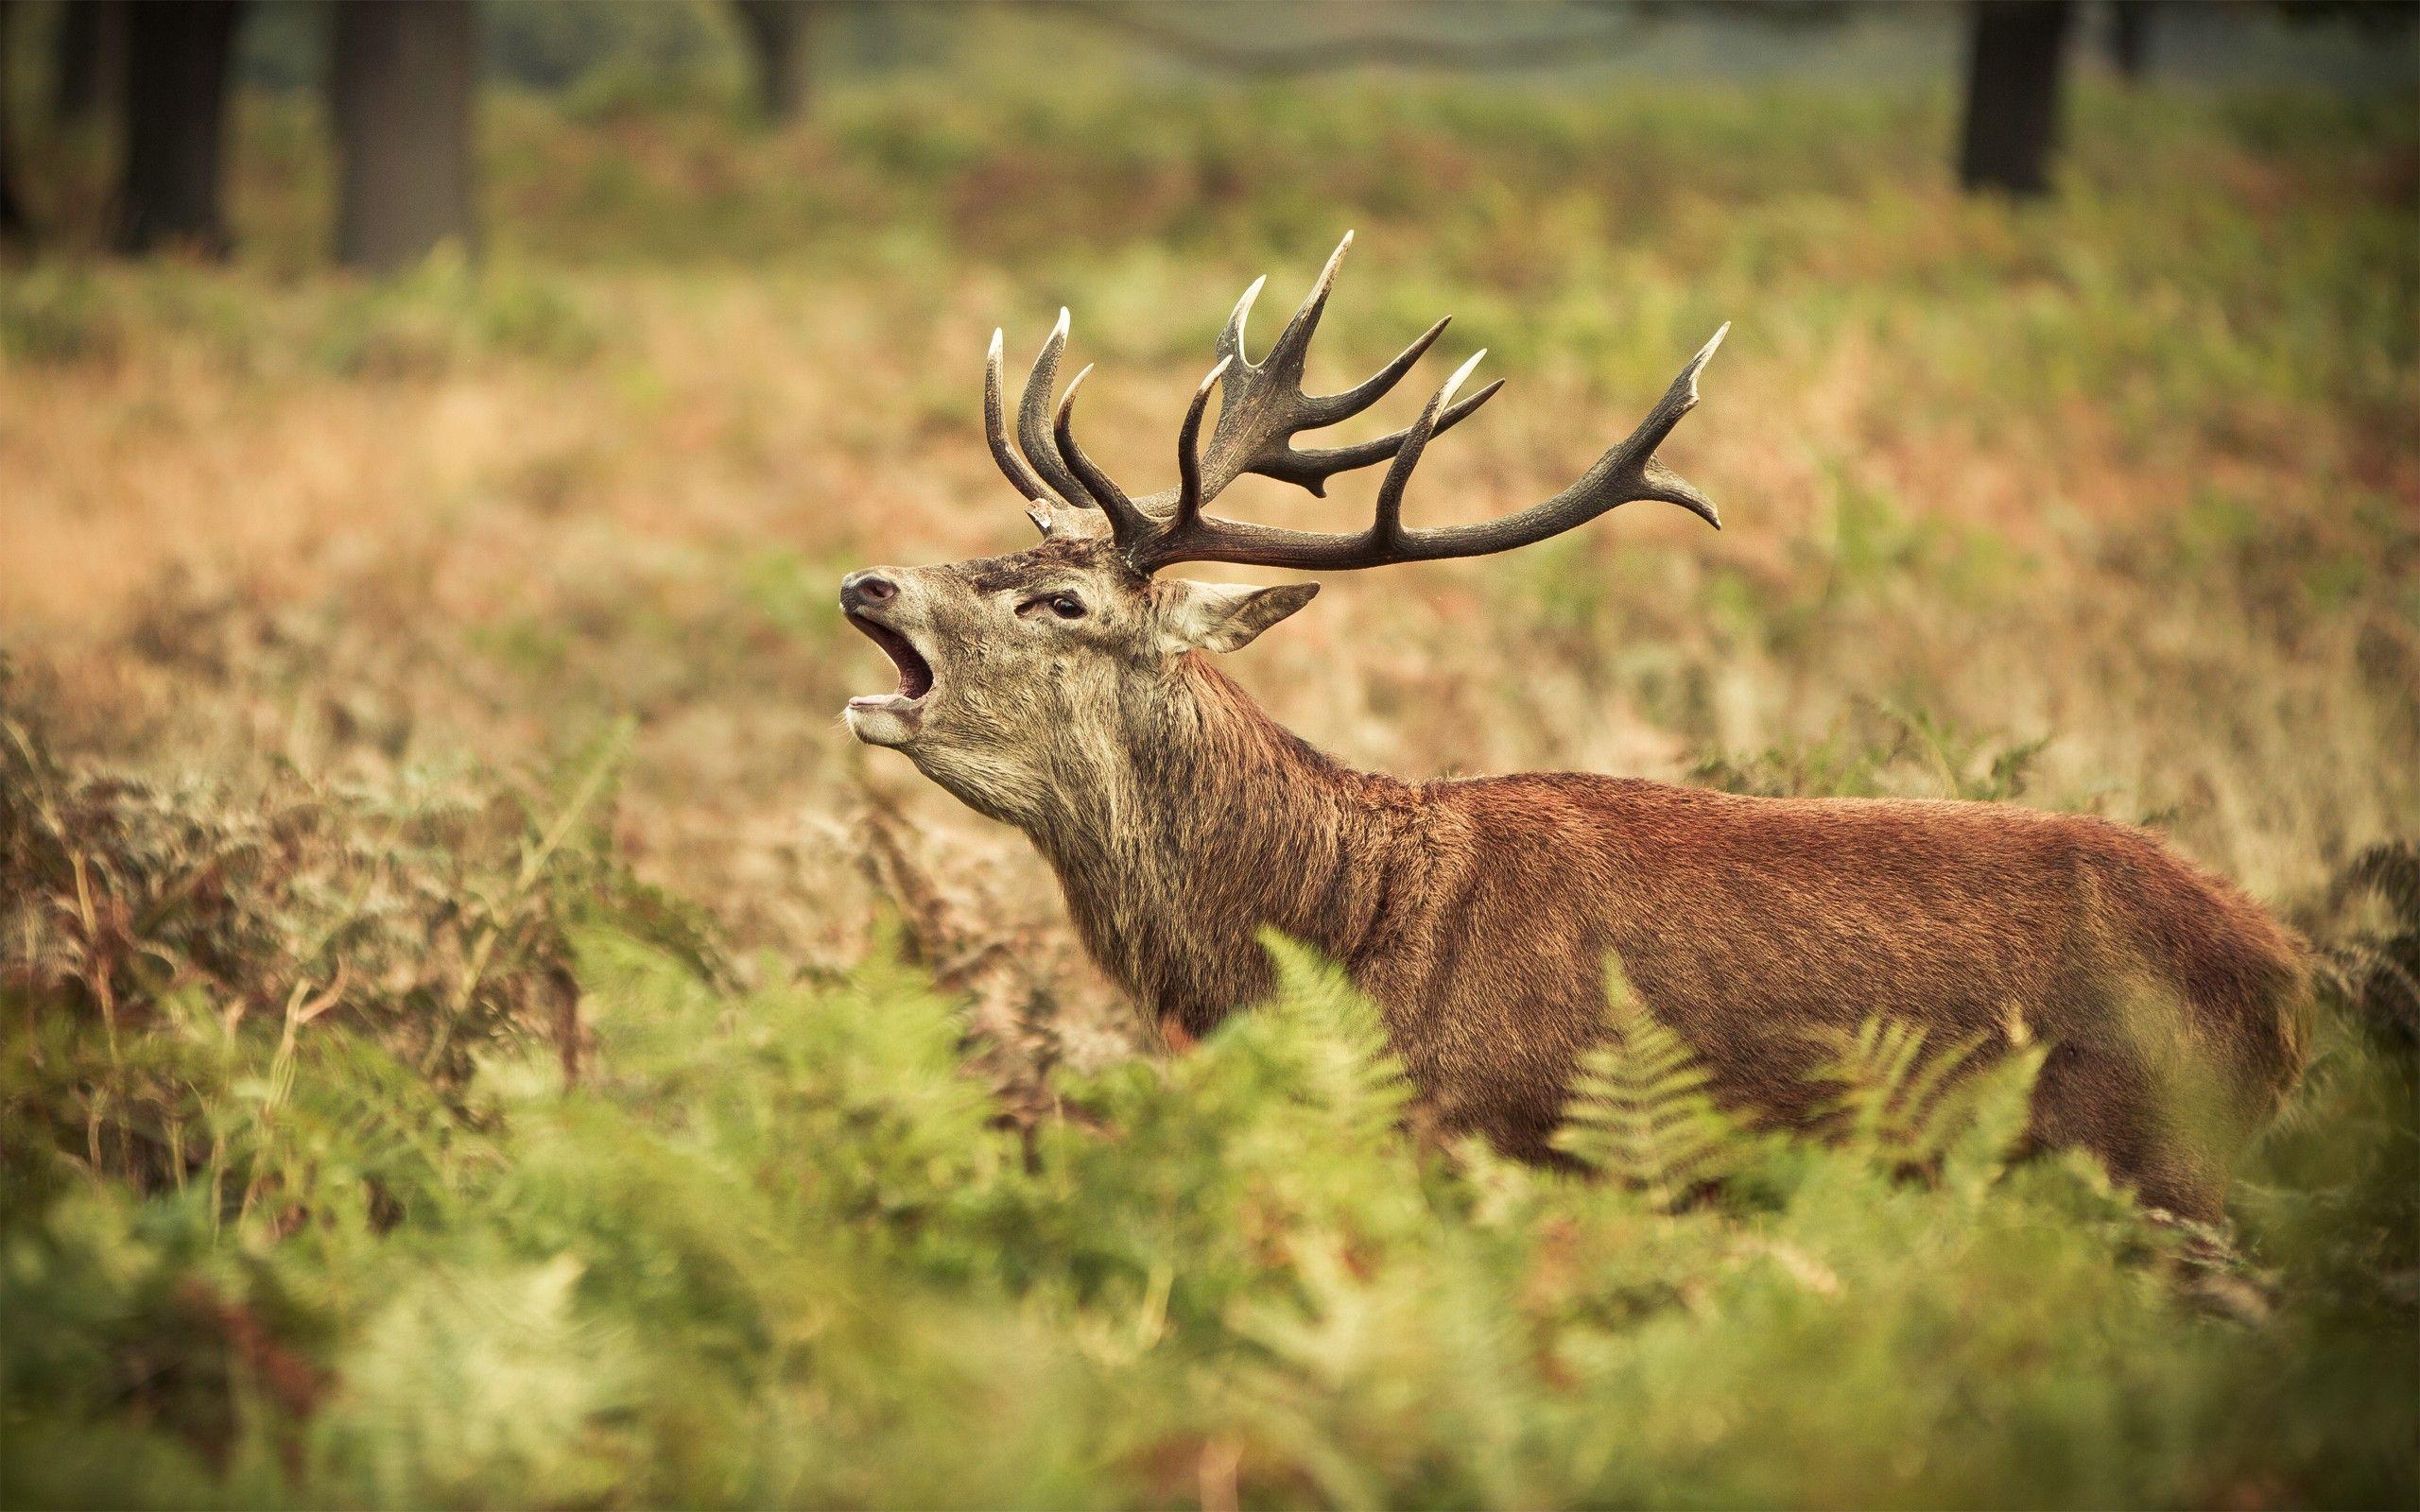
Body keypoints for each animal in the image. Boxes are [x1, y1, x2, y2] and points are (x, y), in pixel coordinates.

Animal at [839, 234, 2310, 1220]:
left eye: (1062, 599)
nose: (867, 582)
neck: (1339, 935)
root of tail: (2289, 982)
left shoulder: (1491, 1139)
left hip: (2149, 1160)